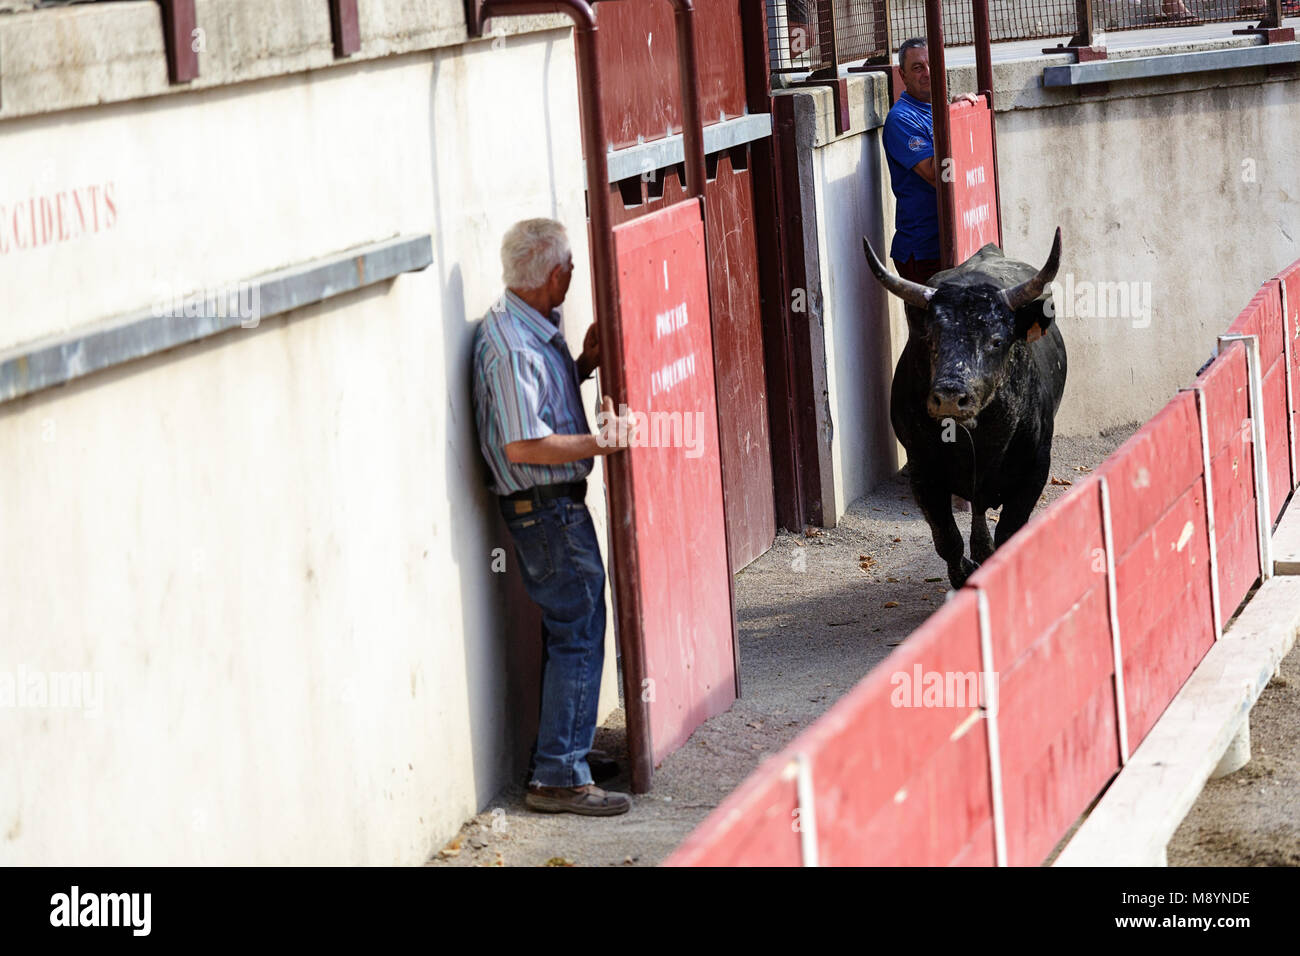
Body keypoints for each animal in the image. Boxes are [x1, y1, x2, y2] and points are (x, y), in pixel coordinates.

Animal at [863, 229, 1067, 588]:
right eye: (929, 339)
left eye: (996, 340)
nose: (949, 396)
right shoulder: (922, 471)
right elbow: (947, 539)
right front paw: (963, 575)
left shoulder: (1035, 467)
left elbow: (1009, 533)